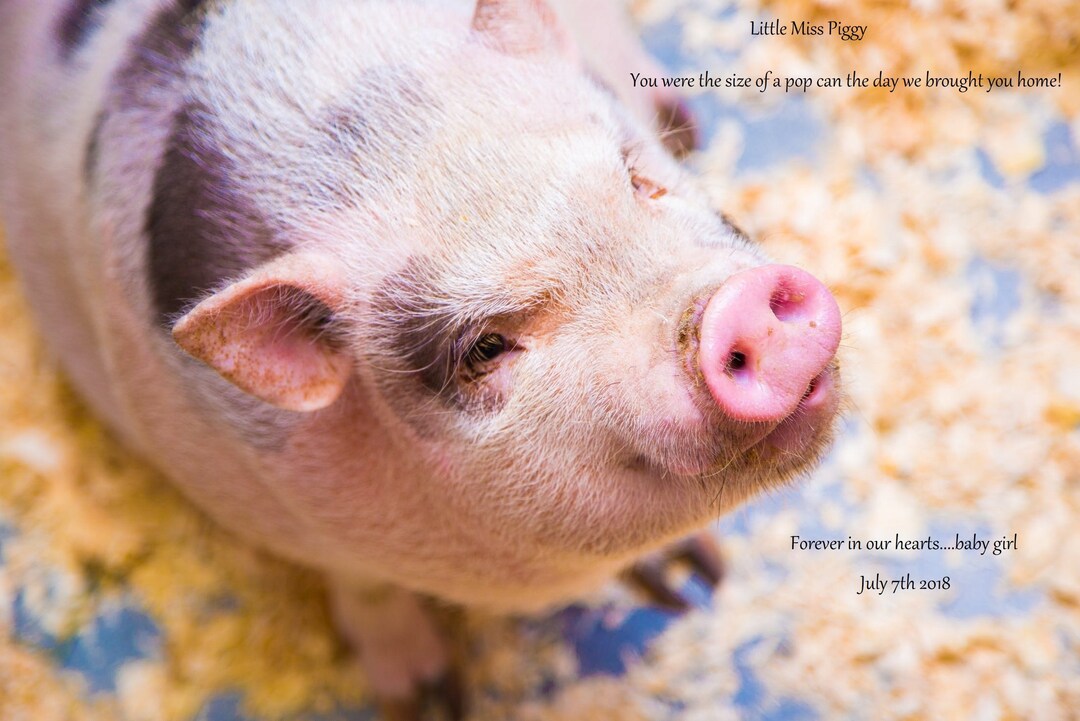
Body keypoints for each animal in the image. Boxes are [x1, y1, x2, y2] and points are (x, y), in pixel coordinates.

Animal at [0, 0, 843, 717]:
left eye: (639, 181)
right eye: (486, 347)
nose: (741, 307)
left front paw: (701, 585)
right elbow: (363, 587)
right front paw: (432, 699)